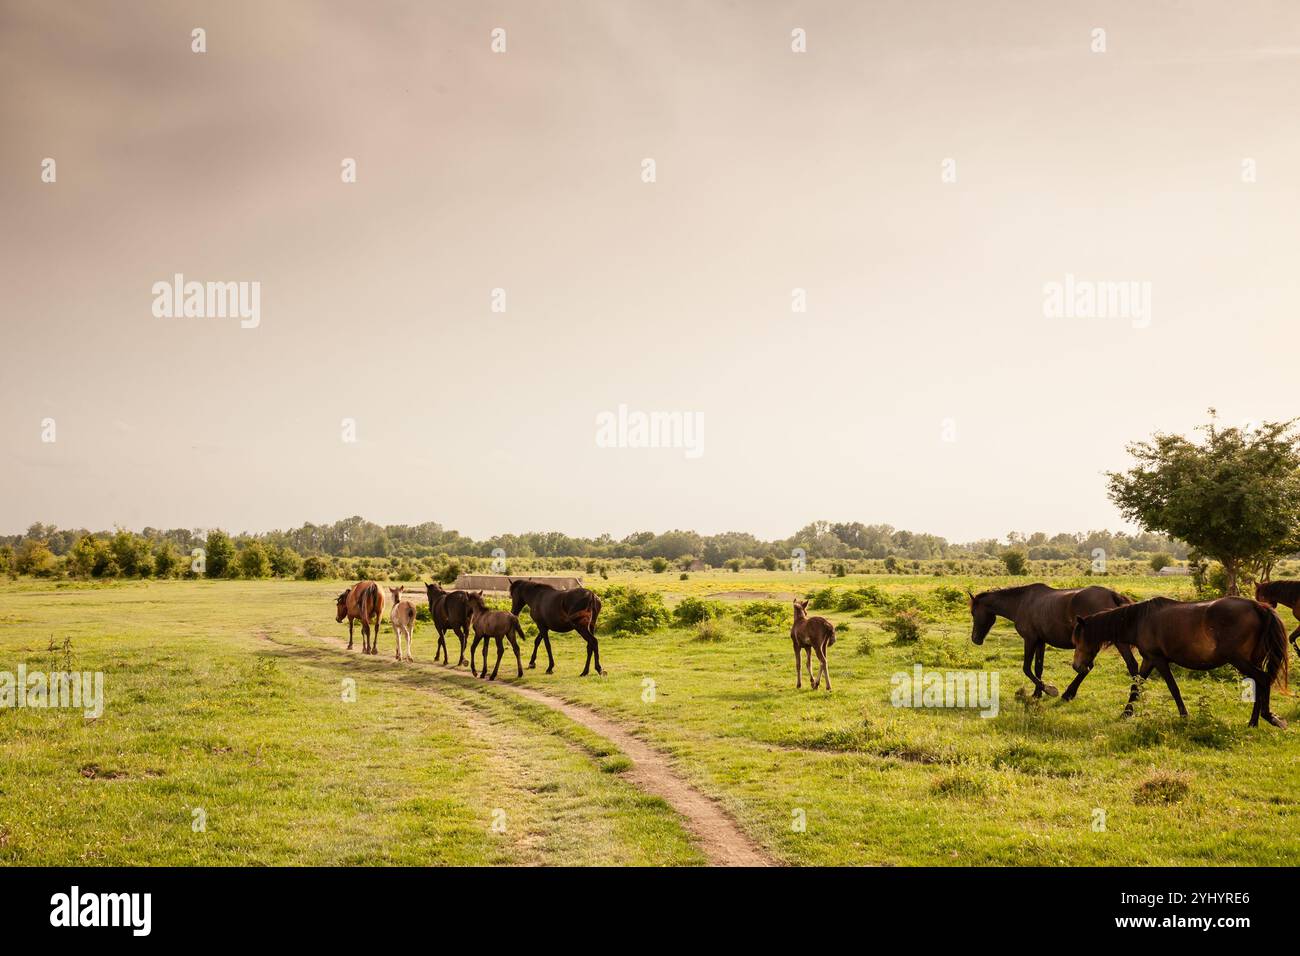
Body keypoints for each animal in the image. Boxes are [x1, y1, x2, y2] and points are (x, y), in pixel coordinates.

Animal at [968, 583, 1139, 700]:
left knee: (1128, 666)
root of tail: (1111, 594)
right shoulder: (1040, 641)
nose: (975, 639)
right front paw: (1037, 694)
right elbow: (1038, 668)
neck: (1021, 602)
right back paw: (1069, 693)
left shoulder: (1030, 640)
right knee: (1086, 668)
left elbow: (1026, 668)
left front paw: (1049, 689)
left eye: (973, 613)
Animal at [1072, 596, 1289, 728]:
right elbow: (1136, 686)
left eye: (1080, 640)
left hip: (1240, 660)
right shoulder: (1149, 659)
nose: (1076, 666)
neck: (1140, 620)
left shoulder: (1159, 660)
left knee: (1263, 679)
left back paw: (1259, 719)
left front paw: (1184, 716)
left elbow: (1173, 688)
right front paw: (1126, 713)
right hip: (1253, 660)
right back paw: (1260, 719)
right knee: (1260, 683)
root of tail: (1258, 607)